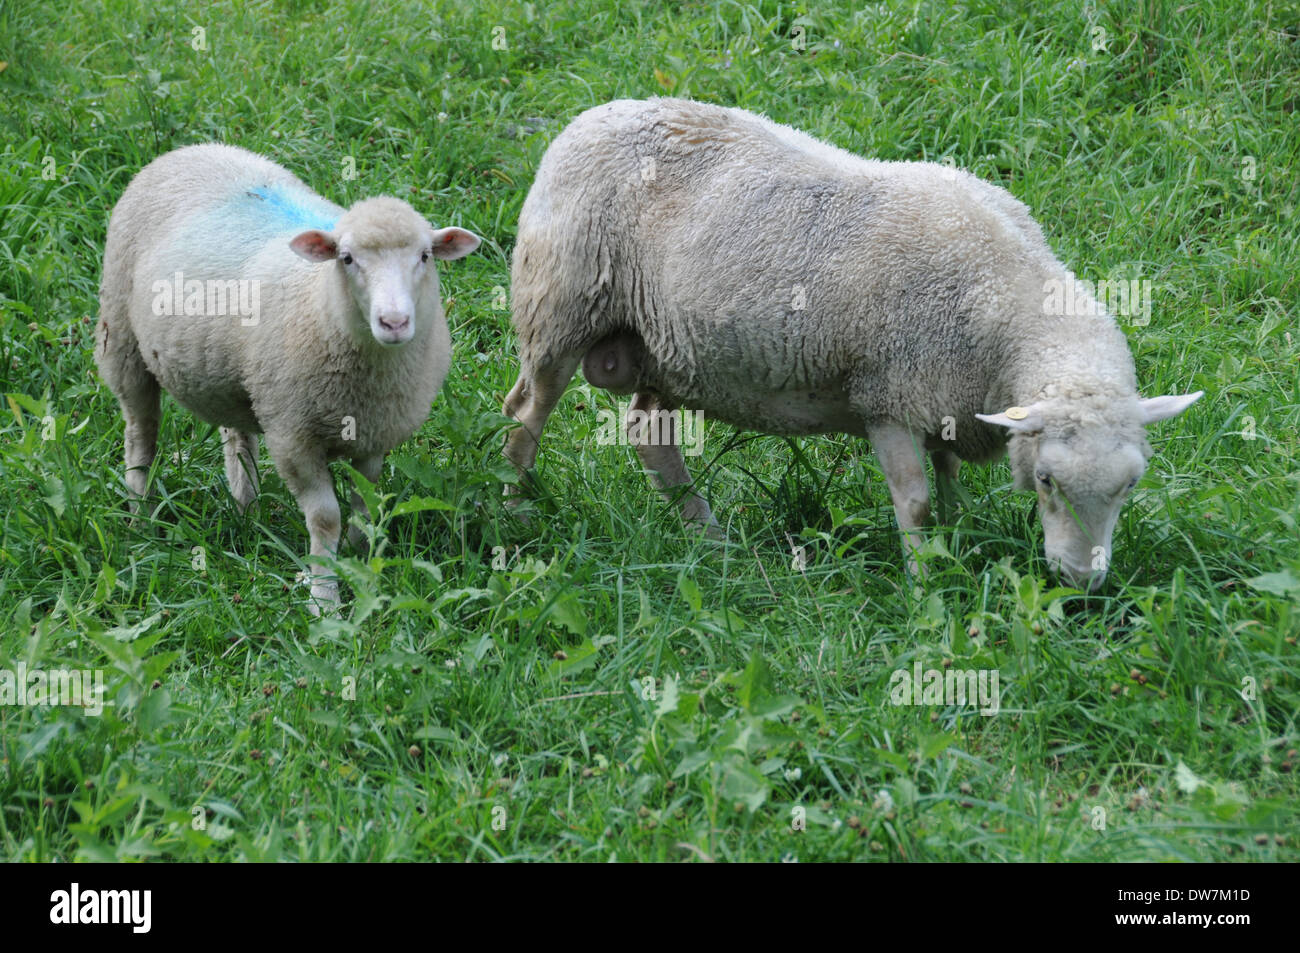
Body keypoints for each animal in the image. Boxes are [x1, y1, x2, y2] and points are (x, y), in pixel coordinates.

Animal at [96, 143, 480, 611]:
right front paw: (324, 596)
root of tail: (192, 148)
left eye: (424, 256)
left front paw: (356, 560)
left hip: (236, 377)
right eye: (347, 259)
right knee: (141, 433)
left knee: (238, 439)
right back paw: (141, 520)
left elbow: (364, 505)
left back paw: (246, 511)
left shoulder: (373, 435)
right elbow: (326, 517)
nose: (394, 322)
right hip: (122, 337)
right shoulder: (294, 436)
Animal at [502, 98, 1203, 590]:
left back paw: (711, 539)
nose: (1082, 581)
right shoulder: (887, 397)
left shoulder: (943, 399)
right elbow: (916, 503)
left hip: (669, 348)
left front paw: (958, 545)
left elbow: (949, 484)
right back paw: (516, 516)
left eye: (1130, 486)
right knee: (524, 417)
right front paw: (925, 588)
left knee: (648, 432)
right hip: (558, 305)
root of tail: (593, 114)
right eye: (1048, 480)